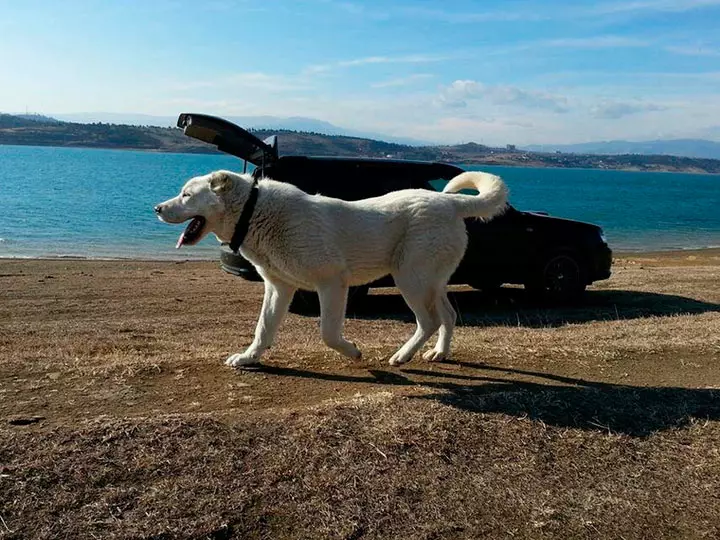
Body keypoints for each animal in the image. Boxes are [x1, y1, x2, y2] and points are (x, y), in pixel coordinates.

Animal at [155, 170, 510, 368]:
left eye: (186, 194)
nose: (157, 208)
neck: (254, 212)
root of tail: (450, 202)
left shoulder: (332, 283)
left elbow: (328, 333)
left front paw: (352, 352)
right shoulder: (278, 288)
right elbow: (263, 329)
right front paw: (249, 358)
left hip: (410, 279)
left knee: (430, 321)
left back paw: (402, 355)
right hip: (431, 282)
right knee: (448, 315)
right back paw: (438, 354)